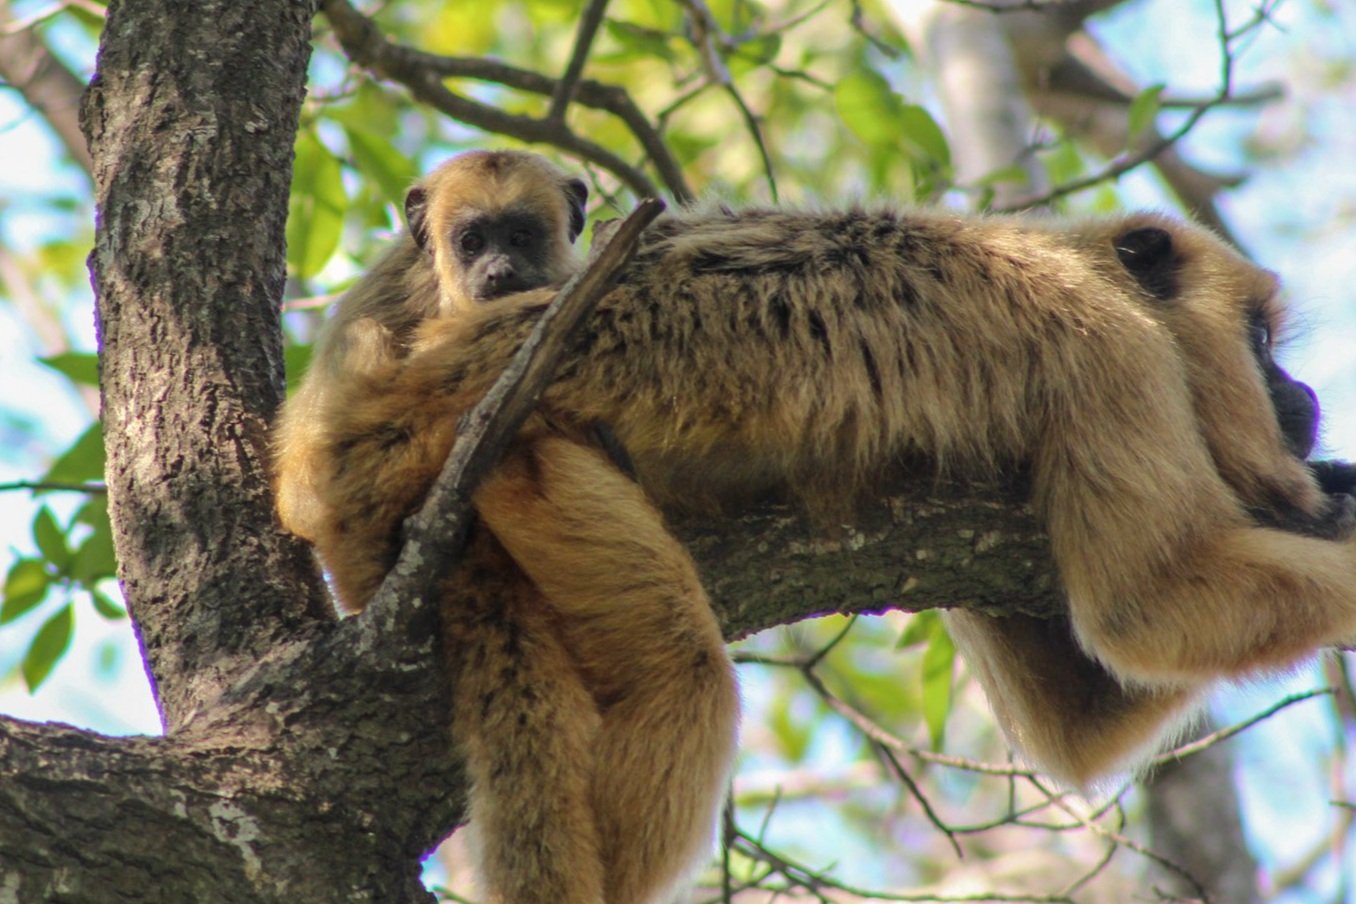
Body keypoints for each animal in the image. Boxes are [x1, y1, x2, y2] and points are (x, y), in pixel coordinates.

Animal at [274, 150, 739, 904]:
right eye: (471, 241)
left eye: (519, 236)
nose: (495, 270)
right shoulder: (385, 295)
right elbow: (319, 484)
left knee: (681, 667)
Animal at [299, 158, 1356, 792]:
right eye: (1260, 342)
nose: (1301, 395)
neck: (1072, 259)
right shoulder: (1117, 352)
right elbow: (1148, 607)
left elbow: (1077, 719)